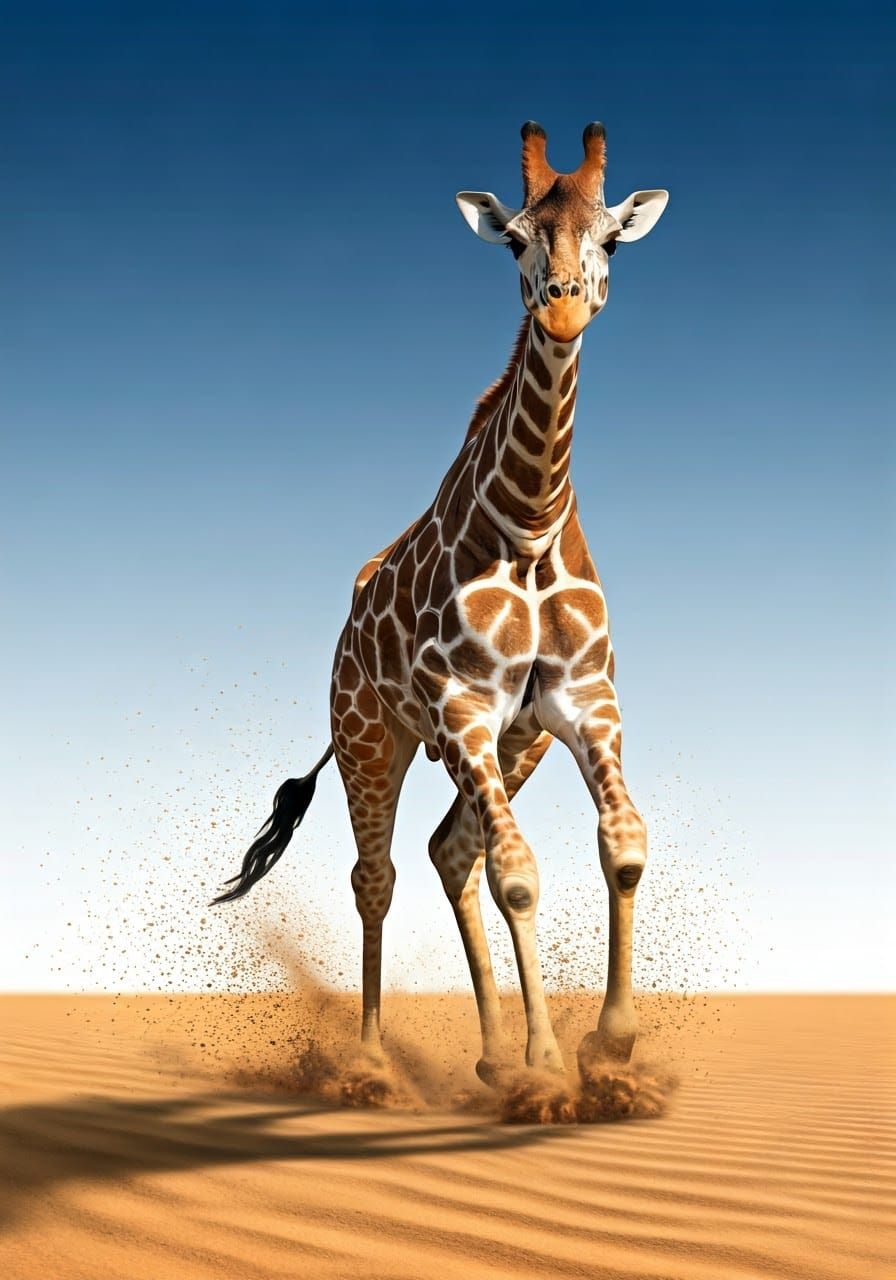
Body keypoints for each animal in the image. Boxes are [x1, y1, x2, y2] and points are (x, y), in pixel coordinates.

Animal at [215, 121, 668, 1087]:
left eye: (610, 239)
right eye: (515, 239)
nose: (563, 310)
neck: (530, 521)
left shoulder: (583, 703)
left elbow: (622, 845)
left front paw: (606, 1048)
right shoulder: (461, 707)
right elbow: (520, 872)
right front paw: (549, 1063)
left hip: (516, 743)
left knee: (448, 849)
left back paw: (493, 1056)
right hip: (369, 737)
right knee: (377, 874)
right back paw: (375, 1061)